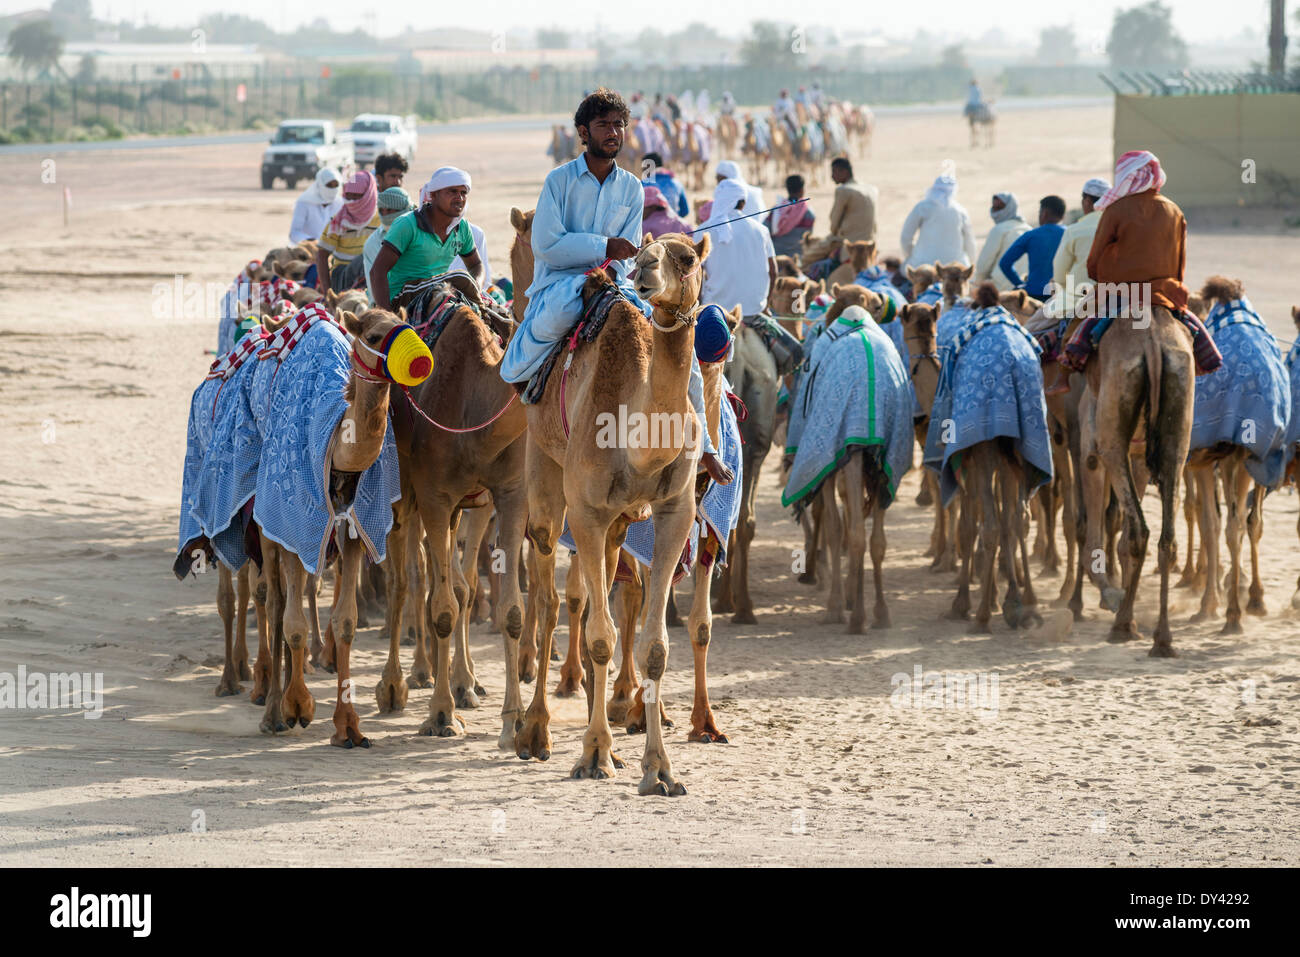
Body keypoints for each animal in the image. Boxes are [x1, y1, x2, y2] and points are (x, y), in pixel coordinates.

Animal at [514, 233, 710, 795]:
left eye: (688, 257)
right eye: (646, 247)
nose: (643, 267)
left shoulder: (675, 510)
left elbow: (655, 646)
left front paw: (659, 770)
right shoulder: (586, 510)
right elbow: (601, 638)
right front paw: (594, 755)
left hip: (620, 525)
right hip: (543, 468)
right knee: (545, 597)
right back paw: (533, 732)